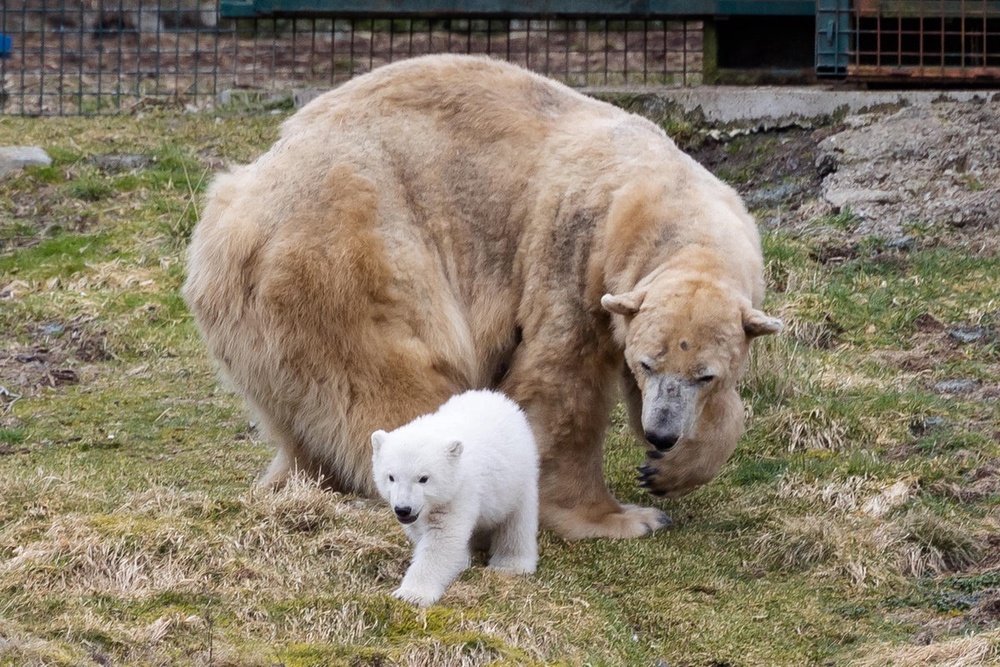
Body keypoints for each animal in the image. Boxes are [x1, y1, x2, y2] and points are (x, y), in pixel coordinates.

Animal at [182, 53, 781, 541]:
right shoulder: (572, 255)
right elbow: (561, 384)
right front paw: (621, 517)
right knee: (398, 382)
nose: (662, 435)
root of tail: (235, 222)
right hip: (348, 260)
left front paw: (672, 468)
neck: (654, 194)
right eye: (648, 363)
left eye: (705, 374)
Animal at [370, 389, 539, 607]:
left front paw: (411, 595)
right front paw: (461, 561)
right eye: (391, 477)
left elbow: (442, 539)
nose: (403, 509)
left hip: (518, 480)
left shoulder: (459, 493)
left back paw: (511, 564)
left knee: (517, 523)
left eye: (423, 478)